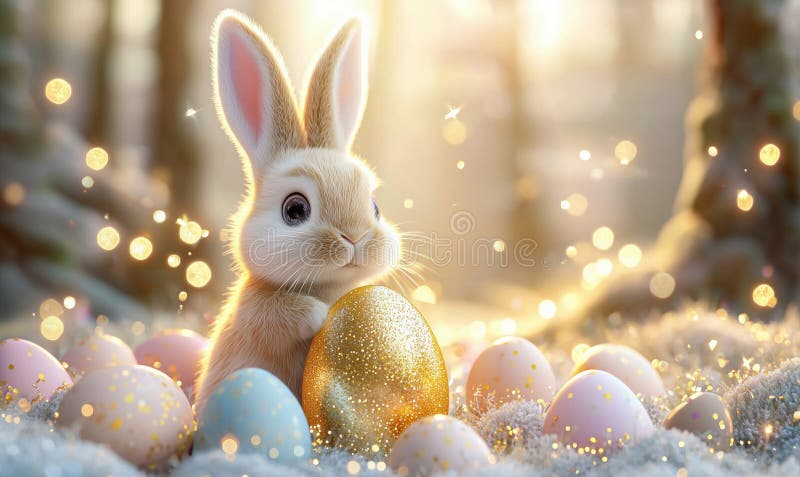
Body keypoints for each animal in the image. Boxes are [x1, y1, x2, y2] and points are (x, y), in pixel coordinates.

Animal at [194, 10, 400, 413]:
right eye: (294, 209)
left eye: (375, 207)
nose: (354, 237)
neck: (326, 286)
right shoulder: (253, 310)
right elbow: (276, 317)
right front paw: (321, 315)